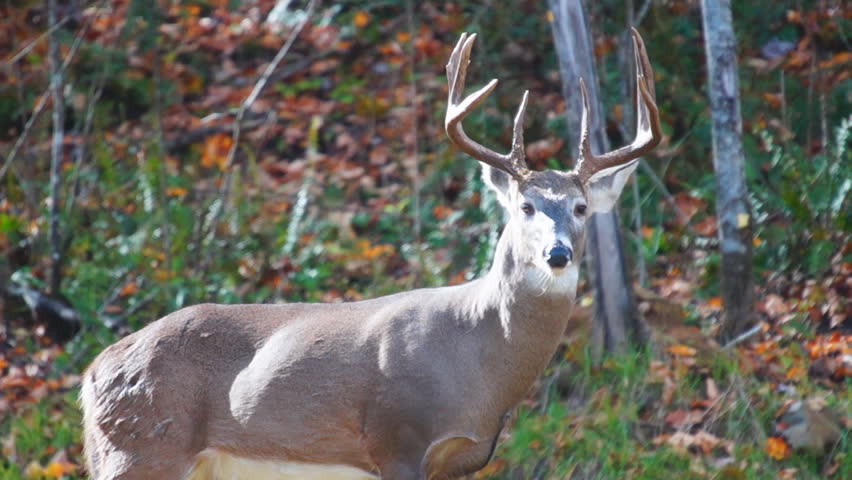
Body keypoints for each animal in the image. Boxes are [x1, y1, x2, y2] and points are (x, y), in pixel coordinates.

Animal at [81, 29, 660, 480]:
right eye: (526, 205)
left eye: (581, 207)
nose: (557, 254)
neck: (479, 353)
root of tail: (91, 375)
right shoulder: (396, 436)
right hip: (142, 447)